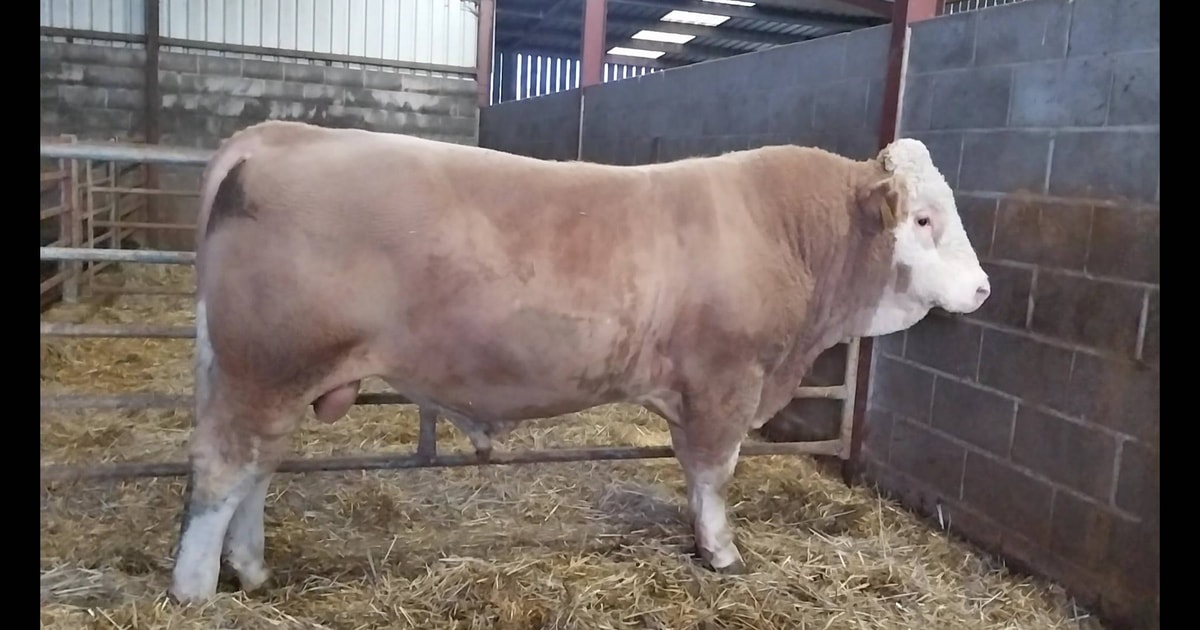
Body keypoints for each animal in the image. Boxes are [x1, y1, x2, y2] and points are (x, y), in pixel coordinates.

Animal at [169, 120, 989, 603]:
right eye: (924, 219)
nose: (983, 287)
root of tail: (279, 135)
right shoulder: (726, 380)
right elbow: (714, 474)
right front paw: (722, 554)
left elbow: (694, 471)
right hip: (266, 365)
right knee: (222, 467)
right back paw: (196, 589)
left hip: (273, 374)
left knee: (254, 469)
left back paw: (250, 568)